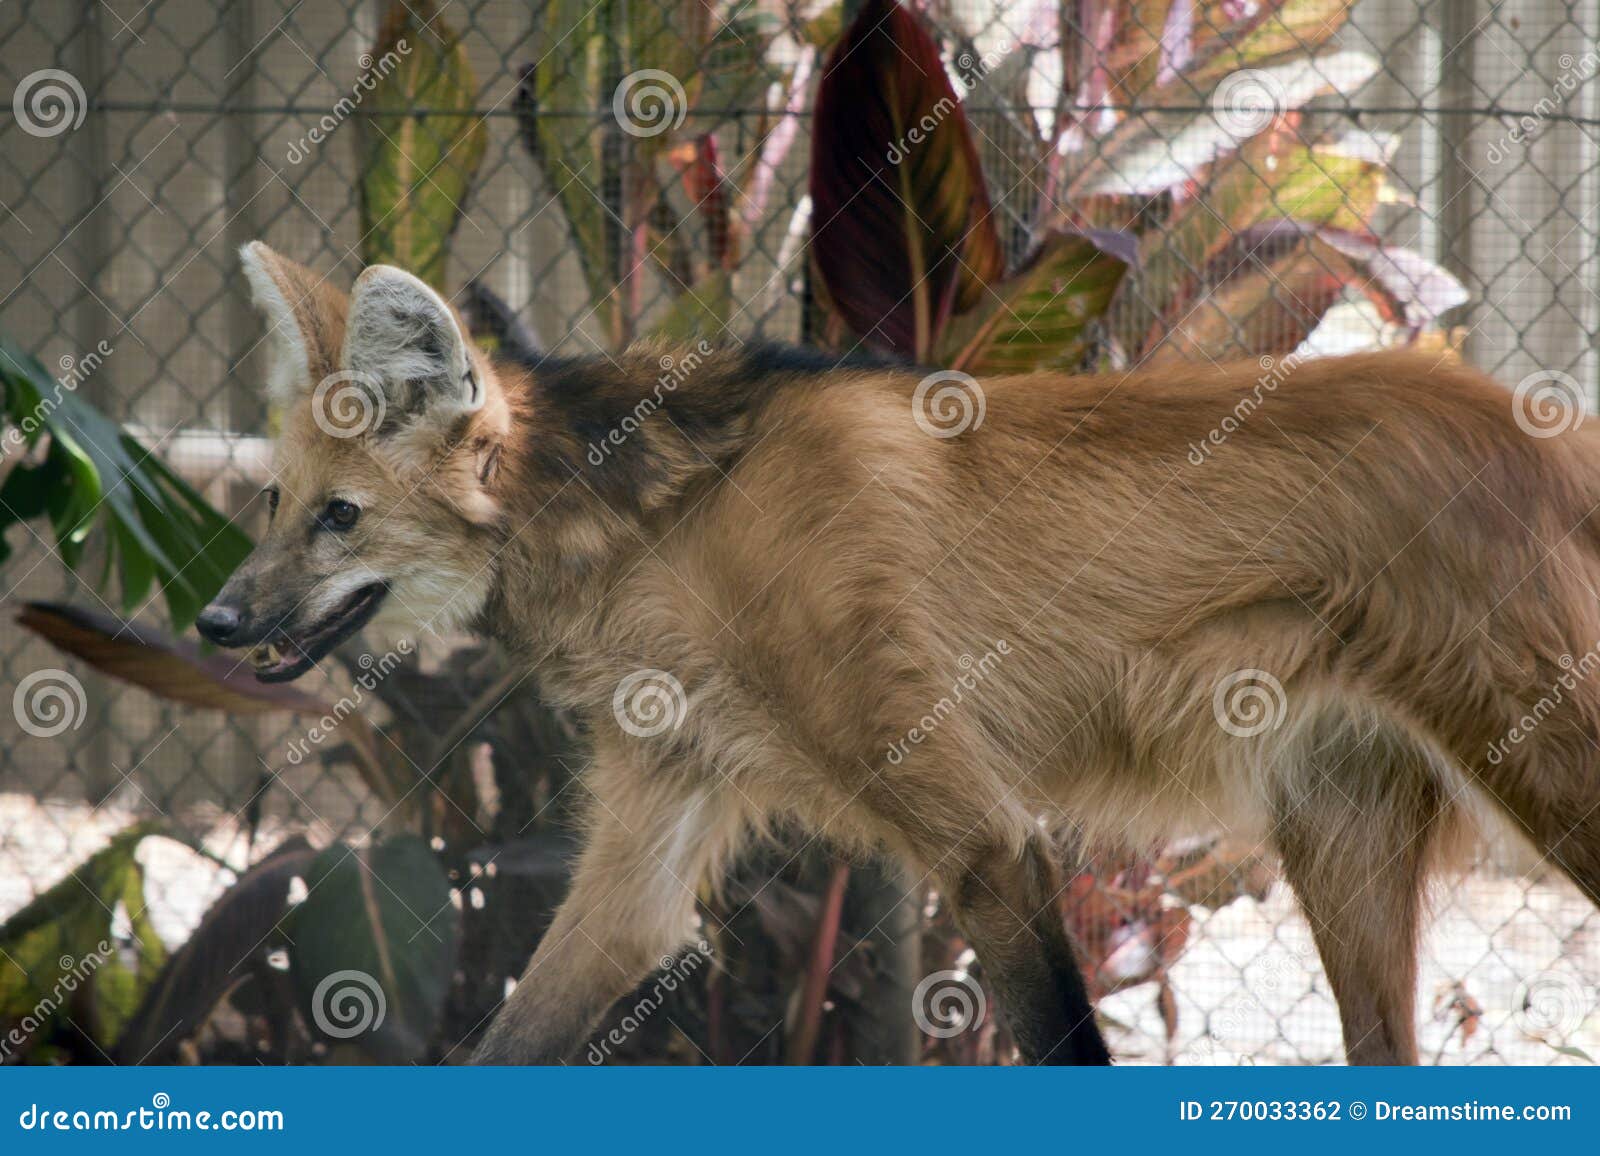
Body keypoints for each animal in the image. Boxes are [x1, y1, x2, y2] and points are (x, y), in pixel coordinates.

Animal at [198, 241, 1600, 1065]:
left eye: (340, 518)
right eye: (274, 503)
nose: (215, 622)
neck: (660, 529)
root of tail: (1546, 428)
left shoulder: (985, 841)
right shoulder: (656, 828)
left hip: (1539, 772)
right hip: (1340, 827)